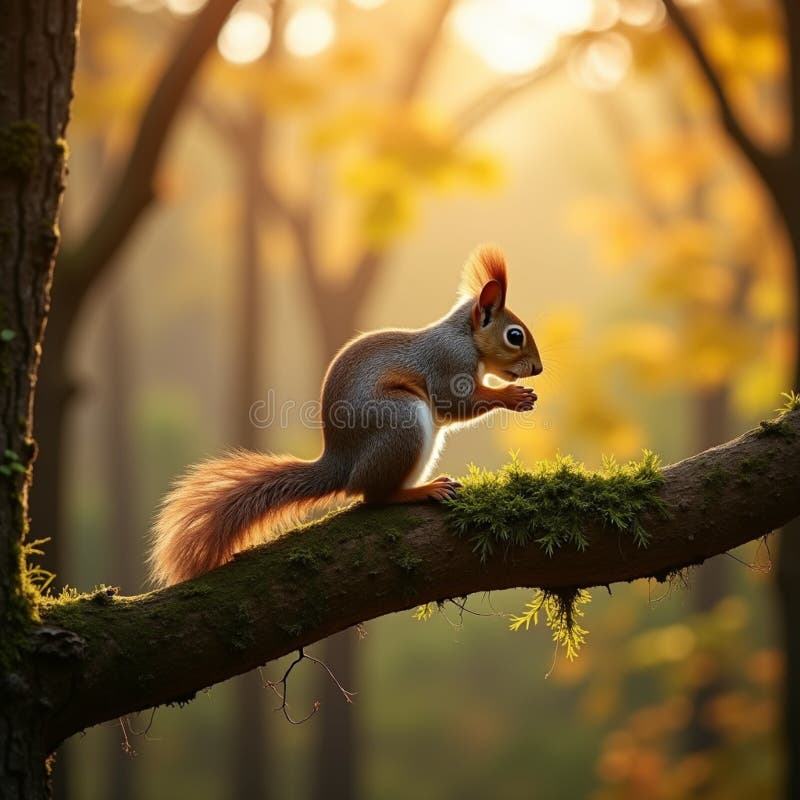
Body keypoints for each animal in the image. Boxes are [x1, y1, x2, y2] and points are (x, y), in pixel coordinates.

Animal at [150, 244, 543, 586]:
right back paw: (422, 490)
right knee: (373, 498)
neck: (466, 337)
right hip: (402, 421)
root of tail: (341, 462)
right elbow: (454, 403)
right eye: (515, 335)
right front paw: (512, 396)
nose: (538, 369)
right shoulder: (448, 362)